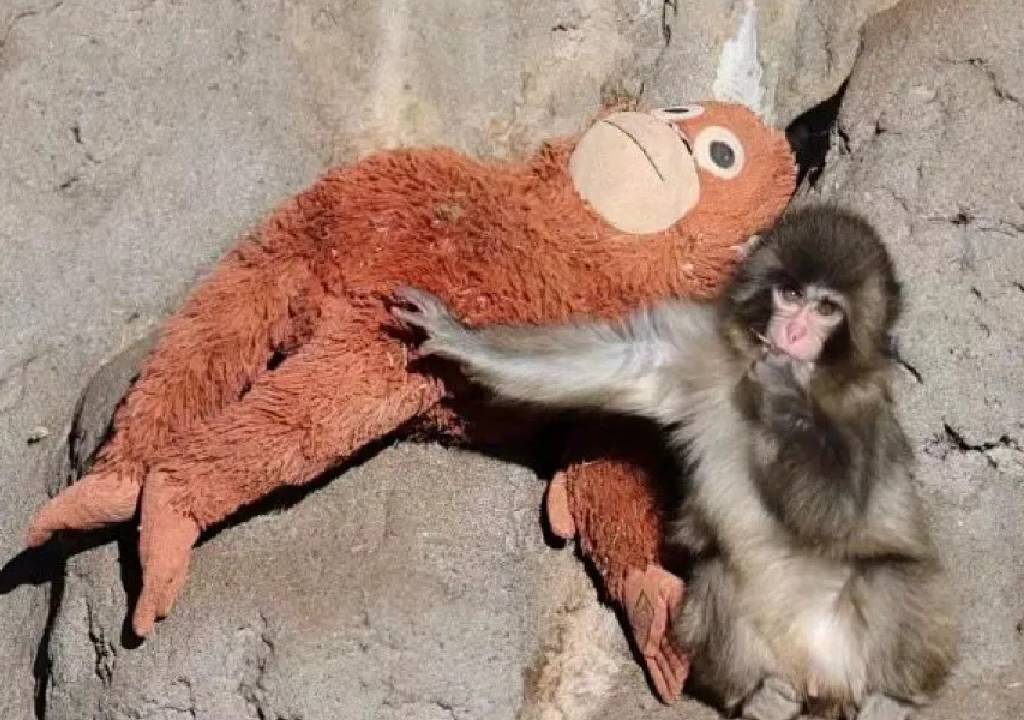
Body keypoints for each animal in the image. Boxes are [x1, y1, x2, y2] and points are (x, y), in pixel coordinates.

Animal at [390, 206, 959, 720]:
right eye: (792, 295)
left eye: (826, 309)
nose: (794, 334)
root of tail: (819, 680)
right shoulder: (699, 346)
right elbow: (626, 362)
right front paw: (453, 333)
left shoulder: (864, 408)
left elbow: (839, 516)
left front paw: (784, 388)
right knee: (717, 571)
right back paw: (756, 700)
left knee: (887, 575)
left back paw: (894, 700)